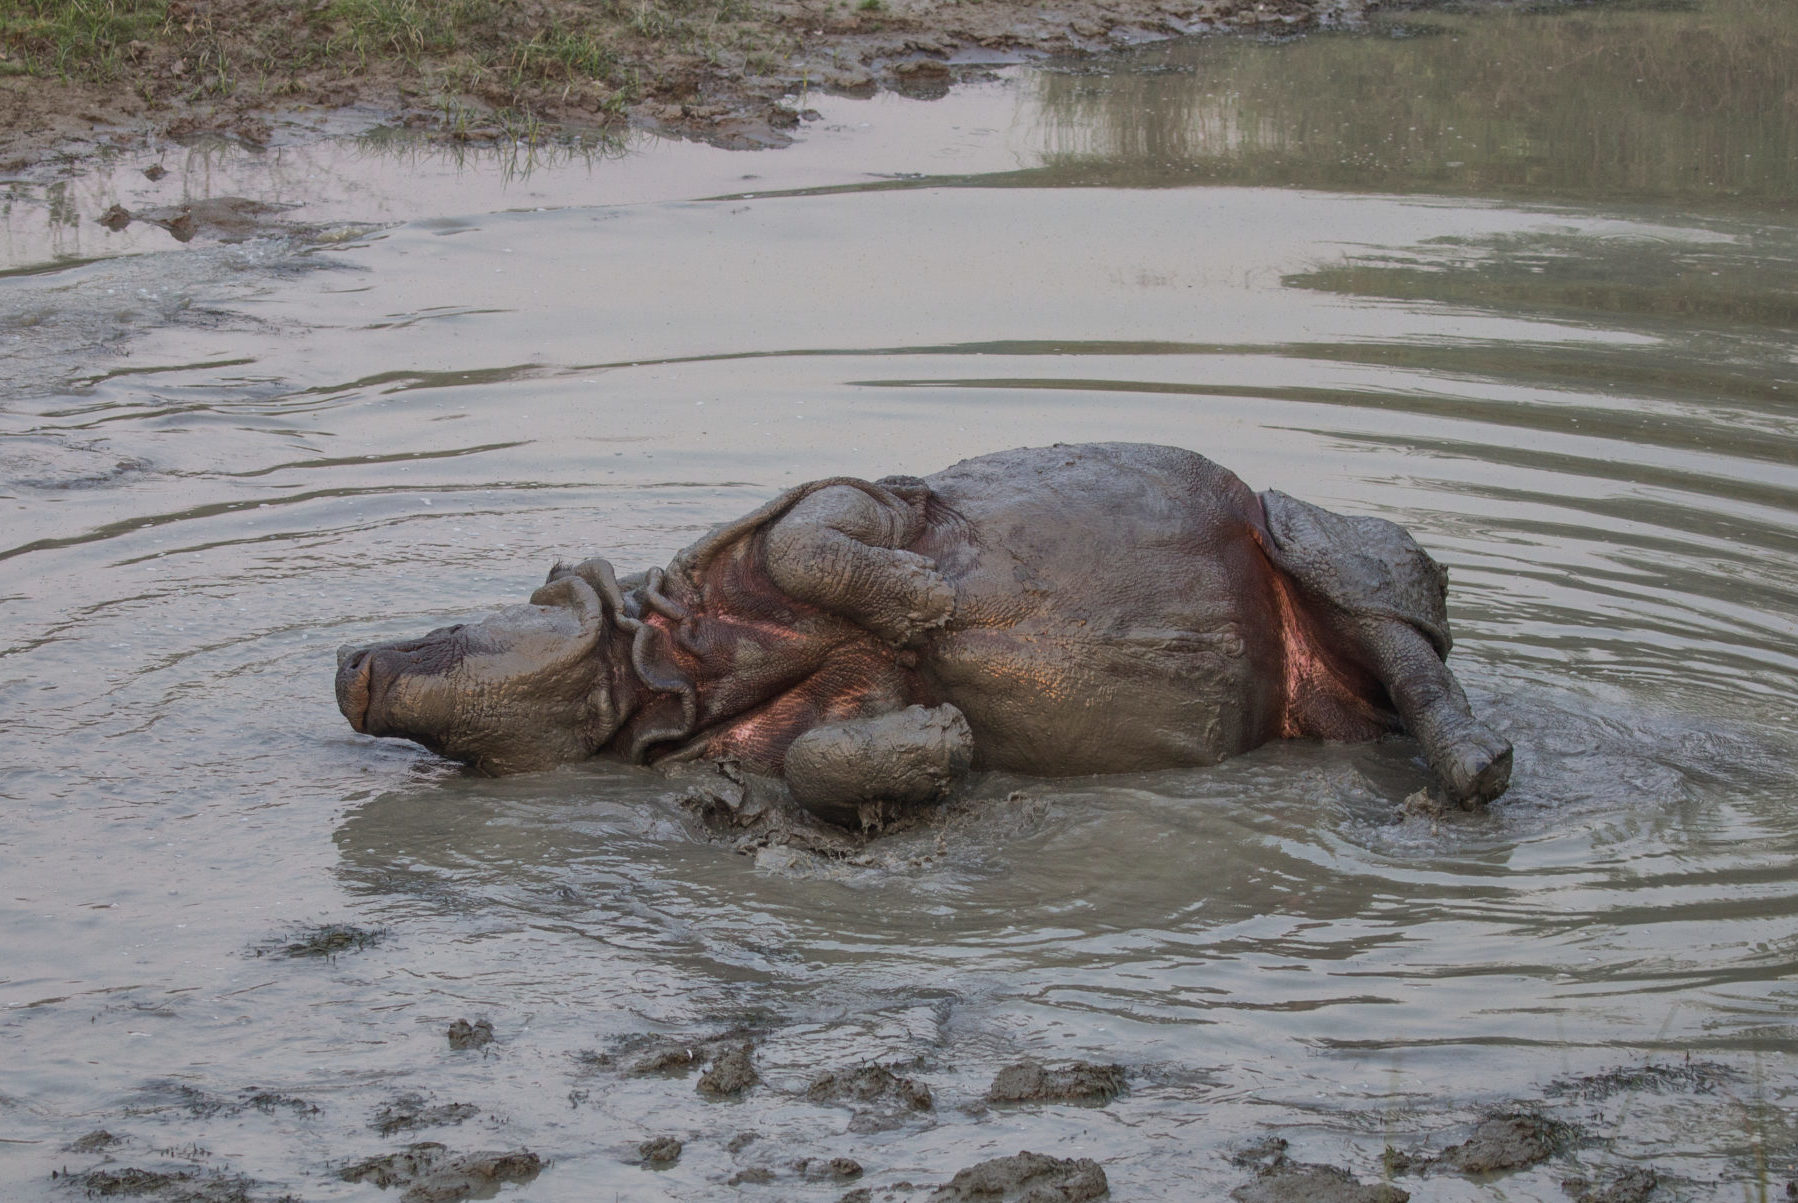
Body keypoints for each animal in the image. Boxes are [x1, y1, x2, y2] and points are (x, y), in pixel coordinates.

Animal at [335, 443, 1511, 823]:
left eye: (454, 621)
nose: (345, 660)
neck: (666, 662)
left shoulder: (835, 506)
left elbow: (813, 539)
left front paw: (931, 604)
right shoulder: (812, 713)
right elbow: (822, 753)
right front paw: (945, 744)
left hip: (1318, 540)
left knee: (1396, 634)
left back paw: (1476, 776)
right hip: (1315, 699)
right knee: (1366, 687)